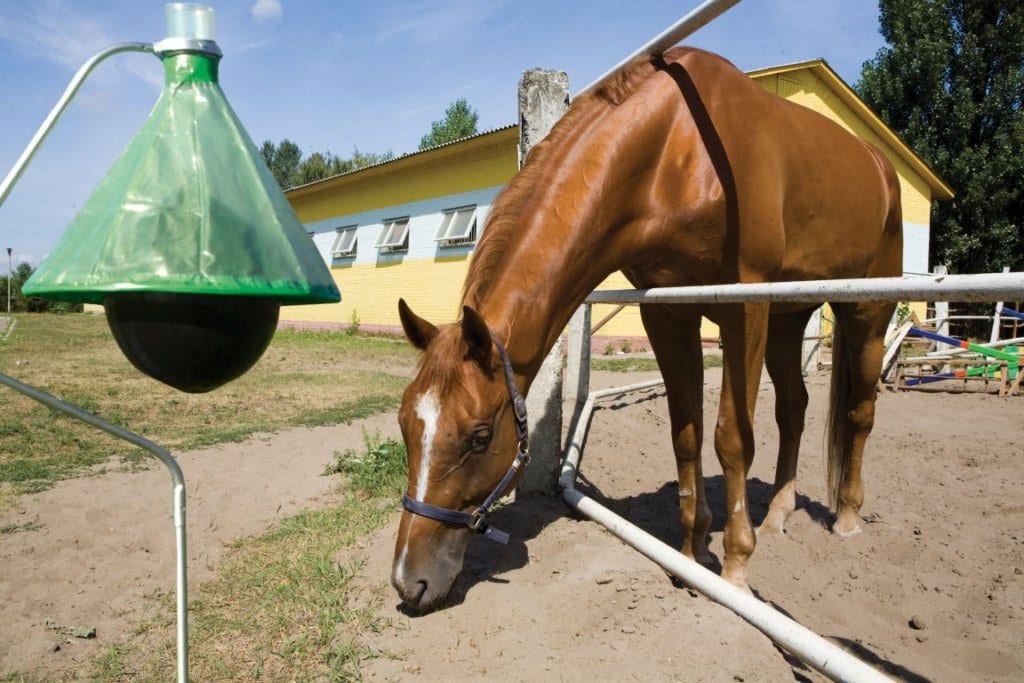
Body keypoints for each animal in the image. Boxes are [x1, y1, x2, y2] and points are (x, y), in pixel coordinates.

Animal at [391, 46, 902, 611]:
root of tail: (881, 167)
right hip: (788, 321)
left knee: (859, 411)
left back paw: (848, 516)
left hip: (866, 311)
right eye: (405, 423)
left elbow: (732, 438)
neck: (675, 150)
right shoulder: (668, 311)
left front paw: (735, 566)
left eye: (479, 437)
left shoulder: (744, 305)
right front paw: (690, 552)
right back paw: (778, 514)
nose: (409, 580)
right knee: (794, 409)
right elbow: (686, 433)